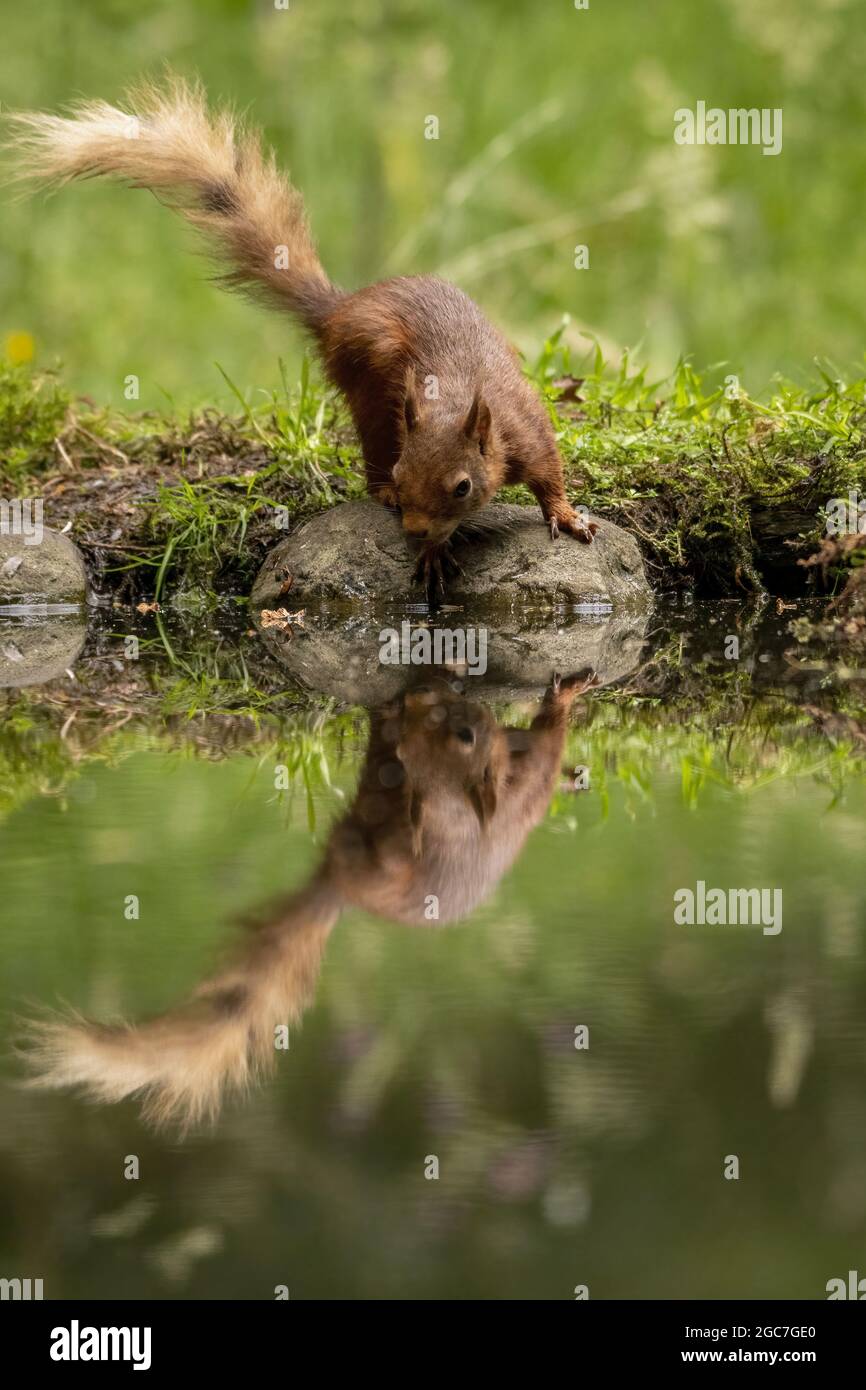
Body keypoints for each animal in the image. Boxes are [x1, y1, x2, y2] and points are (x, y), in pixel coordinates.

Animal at [7, 77, 598, 597]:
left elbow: (550, 473)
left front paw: (568, 517)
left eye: (462, 487)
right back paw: (380, 491)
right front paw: (431, 552)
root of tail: (340, 310)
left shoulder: (526, 429)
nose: (413, 531)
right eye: (407, 470)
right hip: (369, 380)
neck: (457, 403)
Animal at [16, 671, 596, 1130]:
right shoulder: (524, 781)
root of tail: (341, 883)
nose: (418, 693)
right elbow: (550, 741)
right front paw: (567, 698)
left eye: (463, 733)